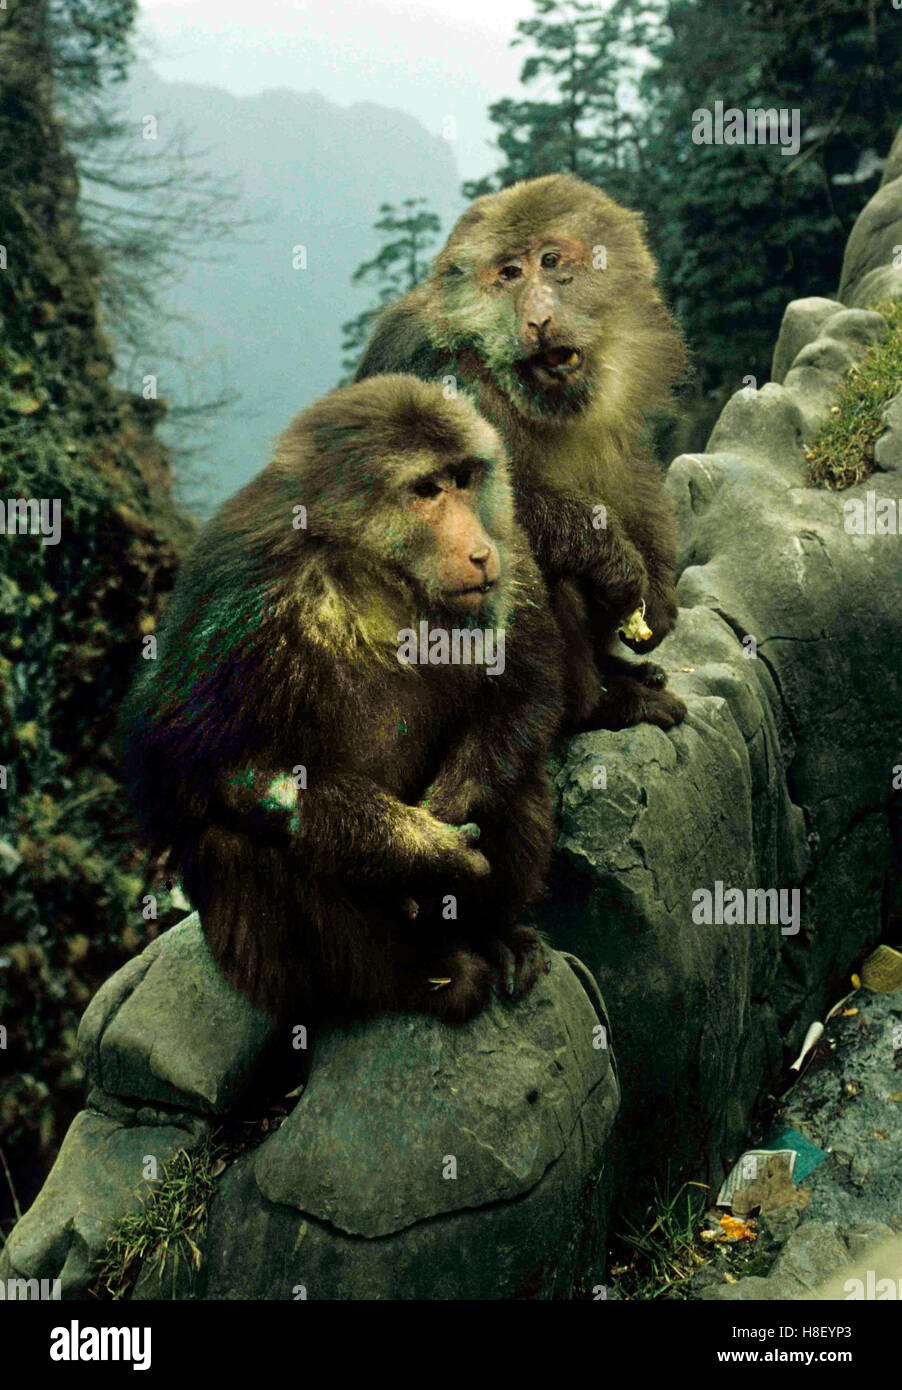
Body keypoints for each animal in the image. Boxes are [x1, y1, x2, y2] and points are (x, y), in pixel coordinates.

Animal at [119, 375, 565, 1028]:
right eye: (427, 490)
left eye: (464, 478)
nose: (480, 552)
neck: (368, 571)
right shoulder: (241, 591)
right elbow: (185, 762)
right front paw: (422, 848)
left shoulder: (509, 542)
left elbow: (528, 678)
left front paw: (454, 805)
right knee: (238, 841)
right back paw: (421, 979)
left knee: (519, 769)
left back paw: (492, 933)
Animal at [353, 173, 688, 734]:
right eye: (509, 273)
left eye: (550, 261)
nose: (538, 317)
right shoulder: (436, 372)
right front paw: (610, 557)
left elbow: (628, 471)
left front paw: (657, 599)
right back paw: (601, 705)